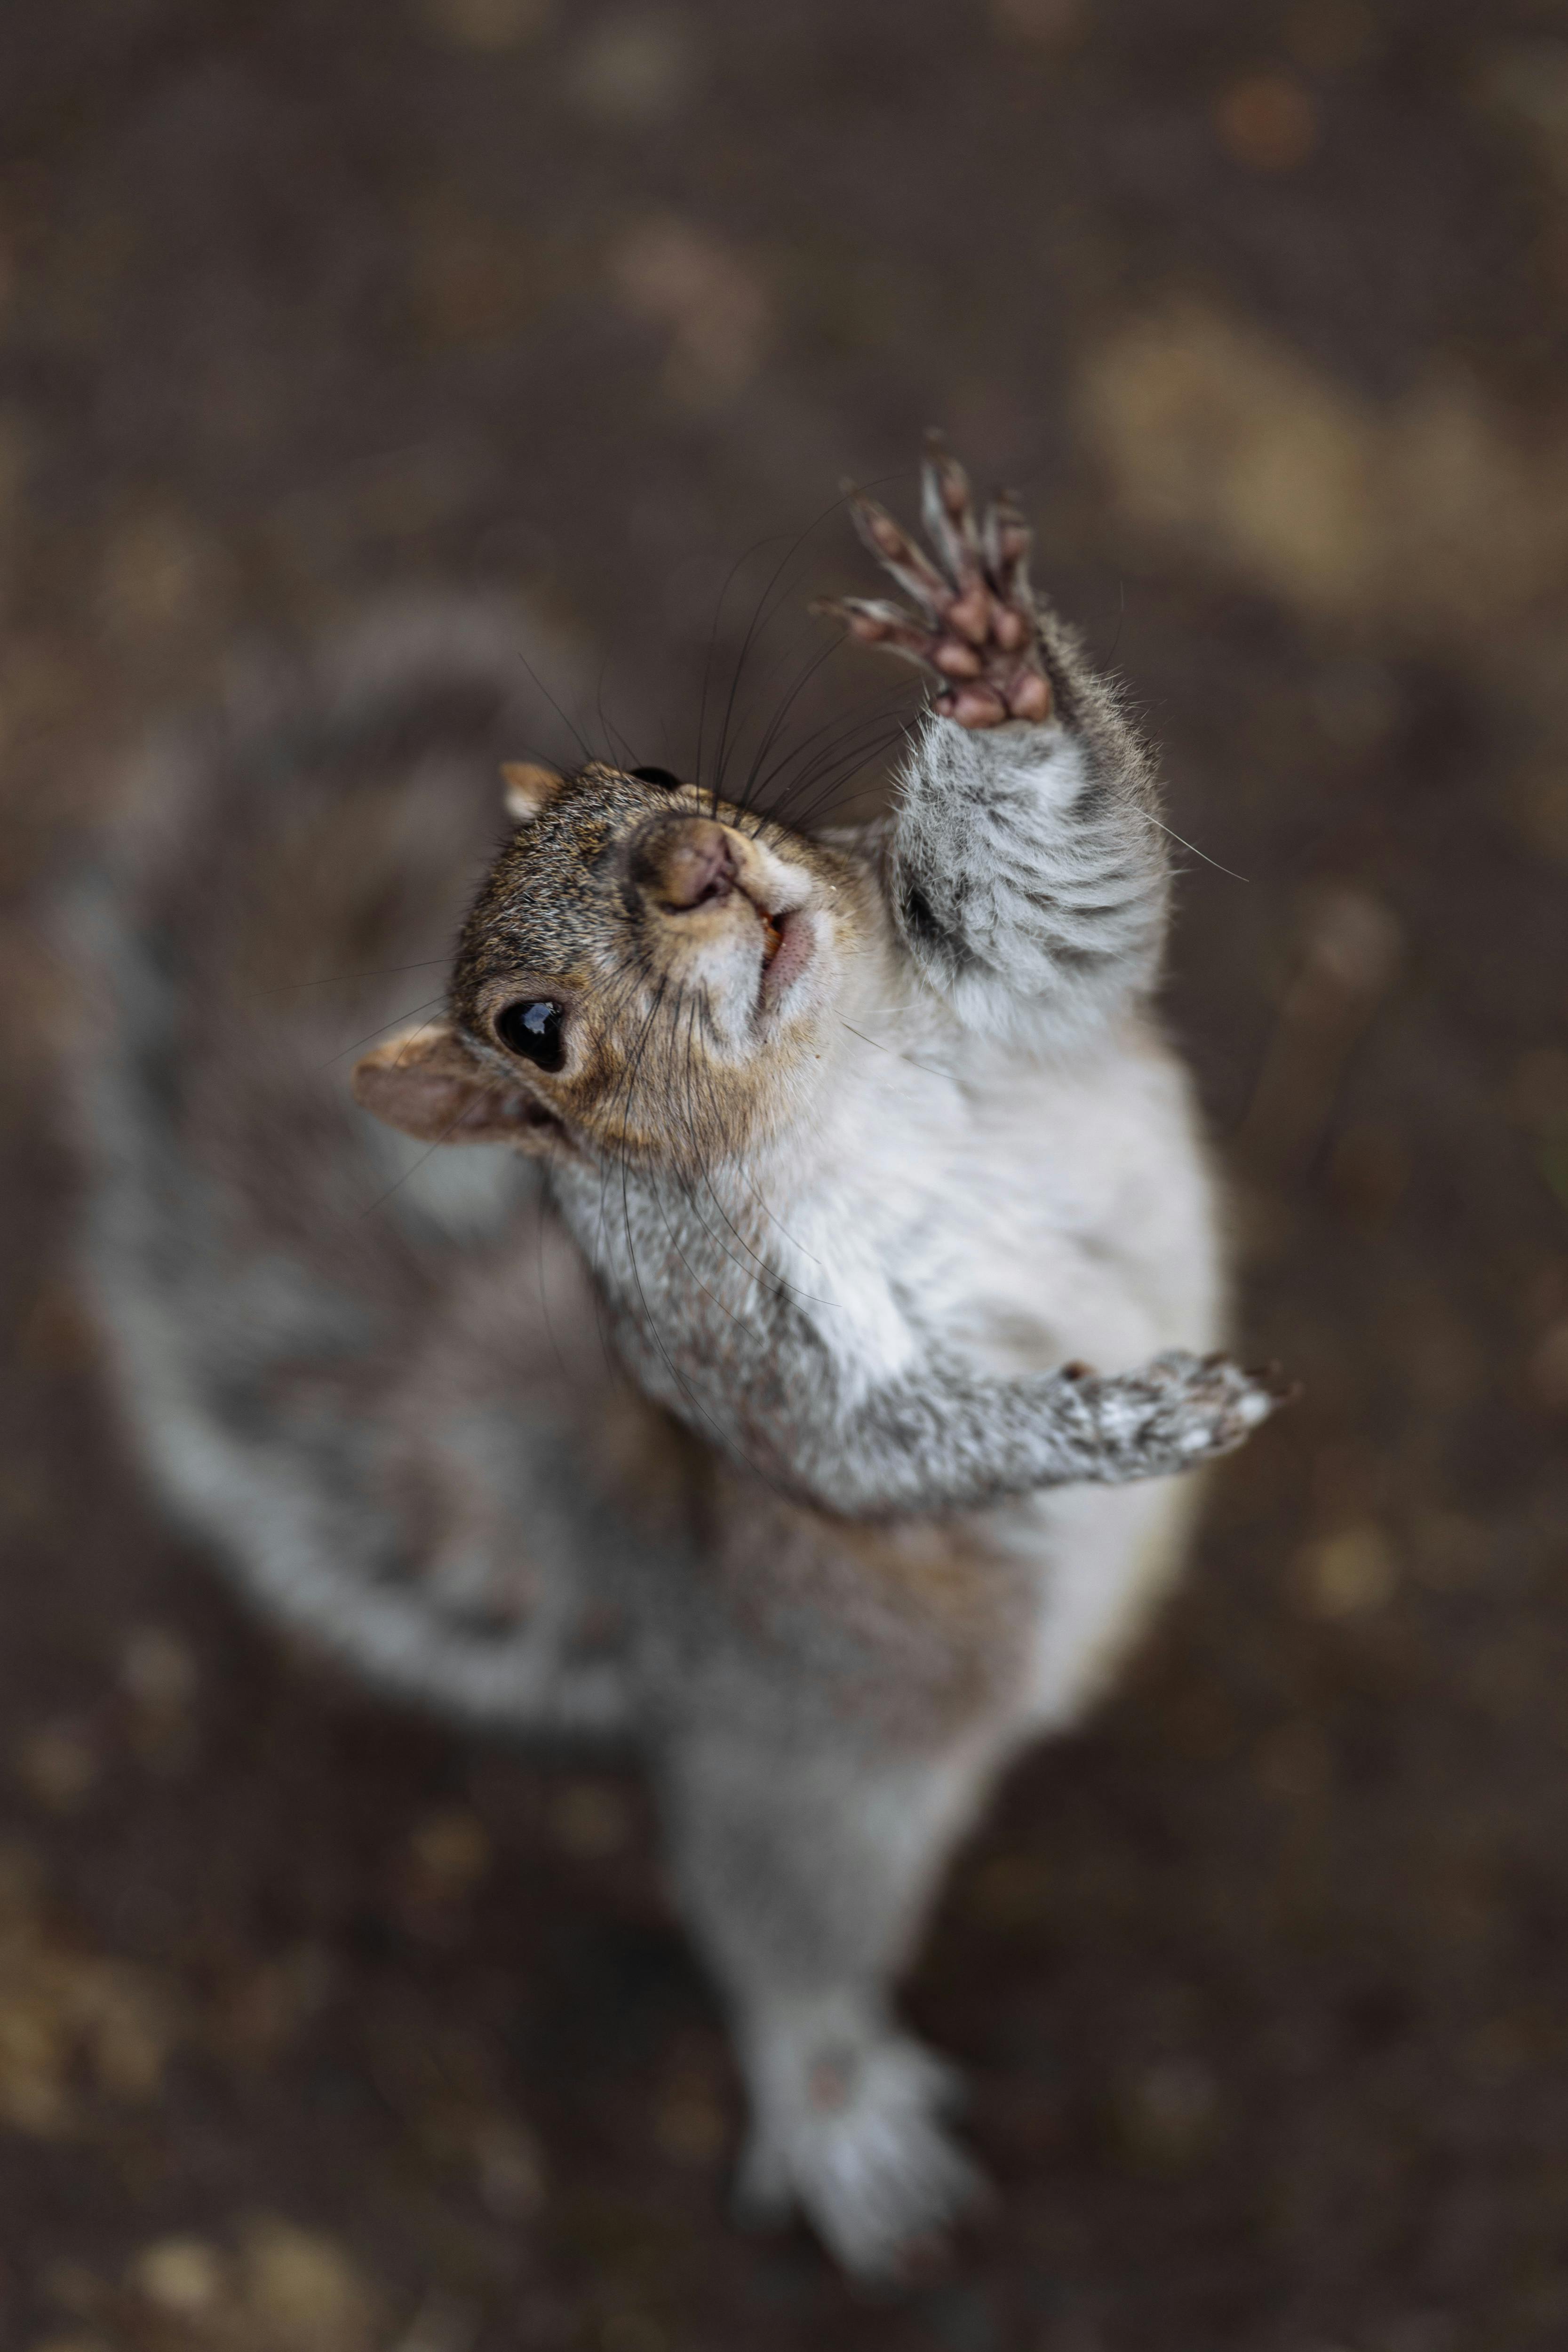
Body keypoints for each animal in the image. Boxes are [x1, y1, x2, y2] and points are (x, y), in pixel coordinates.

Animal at [78, 438, 1287, 2280]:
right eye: (531, 1031)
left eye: (645, 770)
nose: (691, 859)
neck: (819, 1079)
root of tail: (658, 1575)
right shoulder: (726, 1338)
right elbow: (862, 1440)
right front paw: (1109, 1424)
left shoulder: (1007, 984)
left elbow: (1076, 891)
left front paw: (990, 660)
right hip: (818, 1780)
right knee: (787, 1947)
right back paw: (837, 2108)